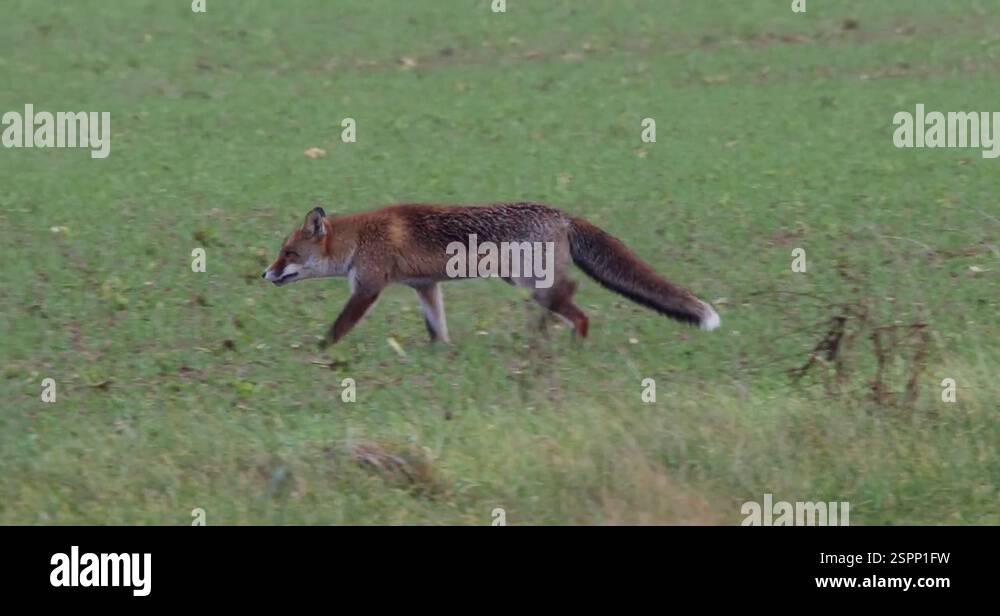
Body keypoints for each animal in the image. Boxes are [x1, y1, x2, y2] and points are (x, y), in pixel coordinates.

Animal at [262, 202, 720, 347]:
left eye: (288, 253)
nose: (266, 273)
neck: (358, 239)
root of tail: (561, 213)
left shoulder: (367, 287)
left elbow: (337, 328)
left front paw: (320, 353)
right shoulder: (425, 286)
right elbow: (437, 328)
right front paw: (442, 354)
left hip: (530, 280)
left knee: (571, 298)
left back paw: (566, 339)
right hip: (526, 280)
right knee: (563, 299)